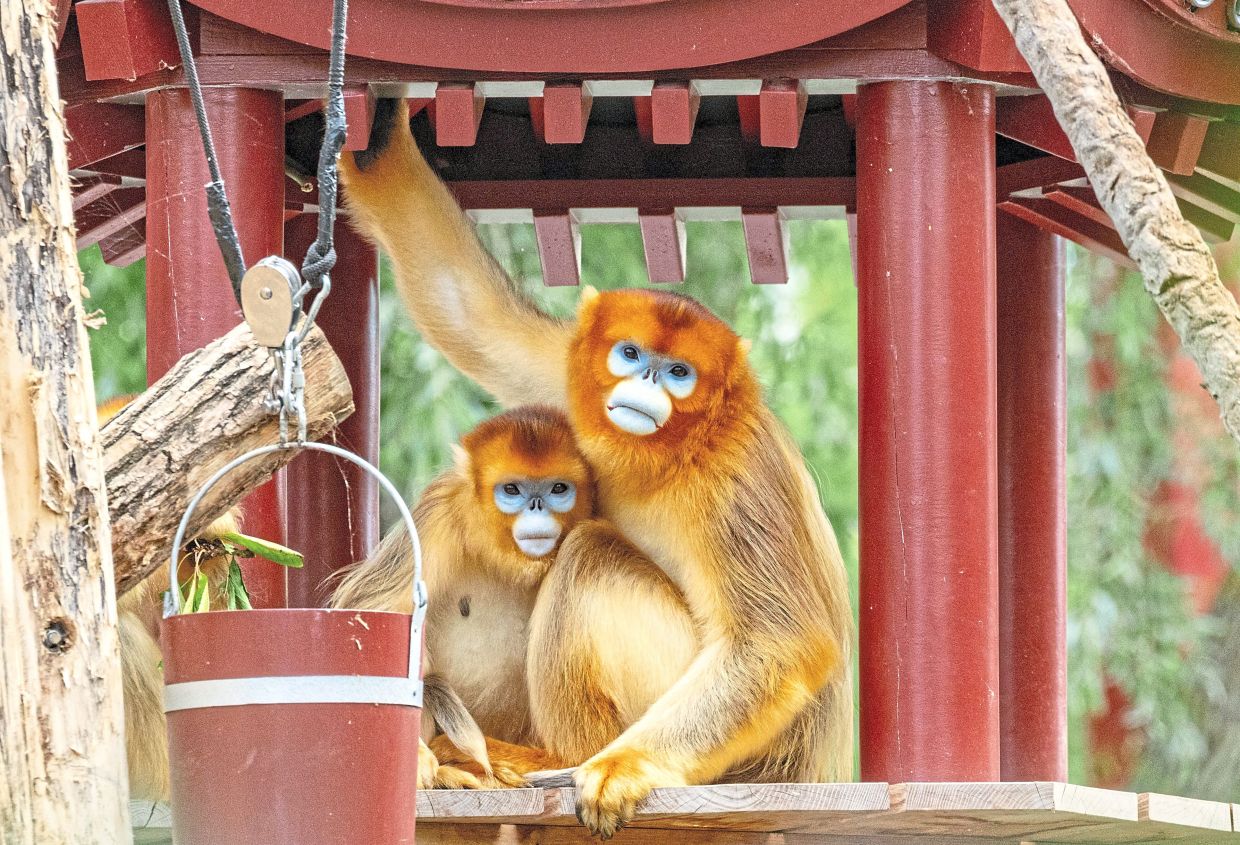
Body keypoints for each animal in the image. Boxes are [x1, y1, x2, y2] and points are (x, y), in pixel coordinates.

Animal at [339, 99, 854, 837]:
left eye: (678, 372)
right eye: (630, 354)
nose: (645, 387)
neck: (666, 454)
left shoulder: (735, 474)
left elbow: (778, 644)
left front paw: (625, 768)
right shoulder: (570, 383)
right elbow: (471, 311)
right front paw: (377, 136)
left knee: (590, 557)